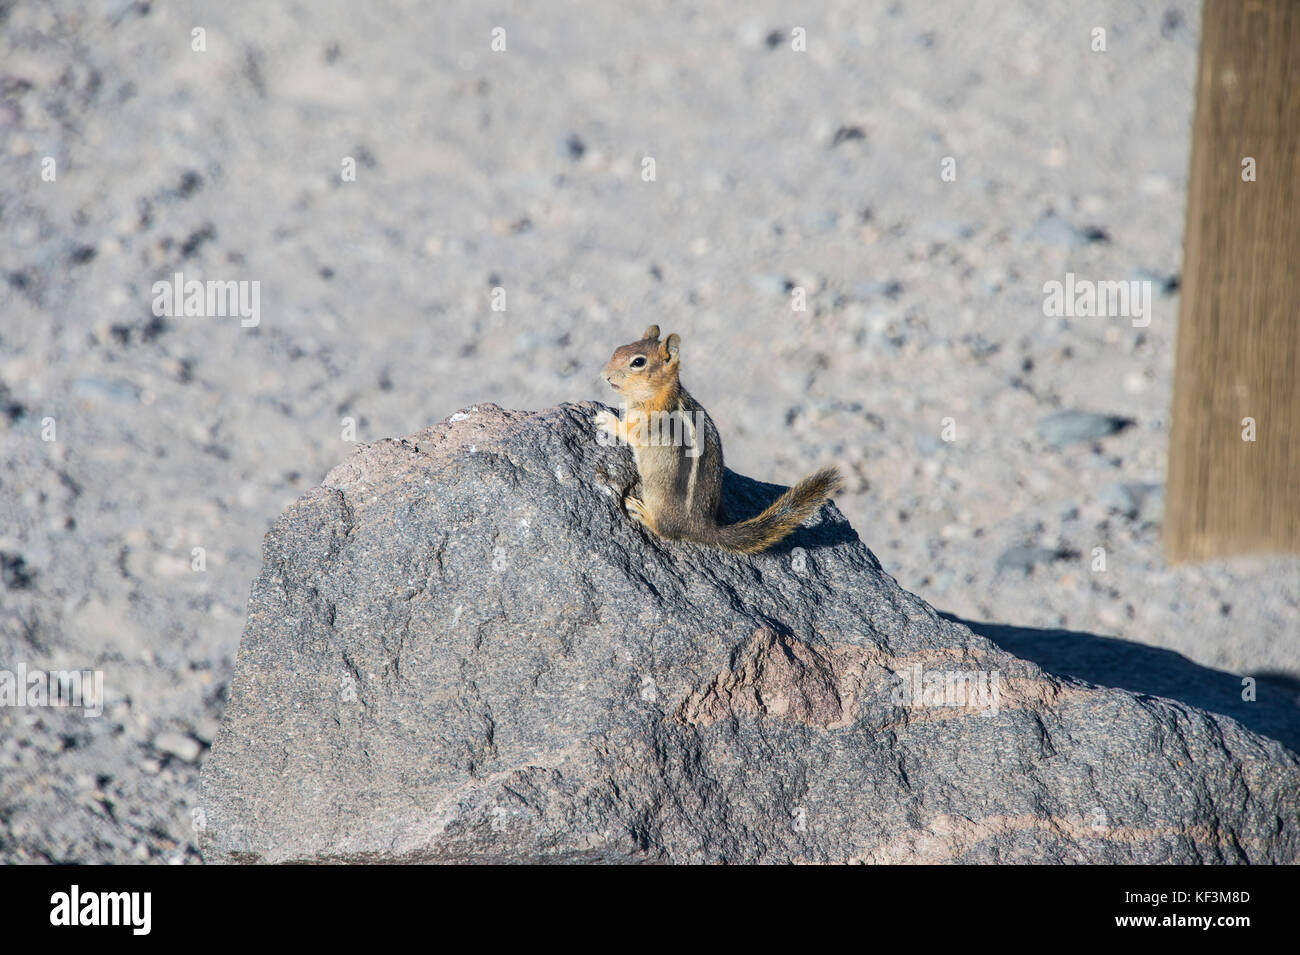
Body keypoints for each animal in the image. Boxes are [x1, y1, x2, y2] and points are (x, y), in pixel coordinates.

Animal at [593, 325, 843, 554]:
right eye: (619, 348)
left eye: (638, 362)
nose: (604, 375)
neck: (660, 392)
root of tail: (701, 526)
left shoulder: (643, 422)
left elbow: (626, 431)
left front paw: (606, 419)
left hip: (656, 496)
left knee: (665, 530)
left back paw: (642, 512)